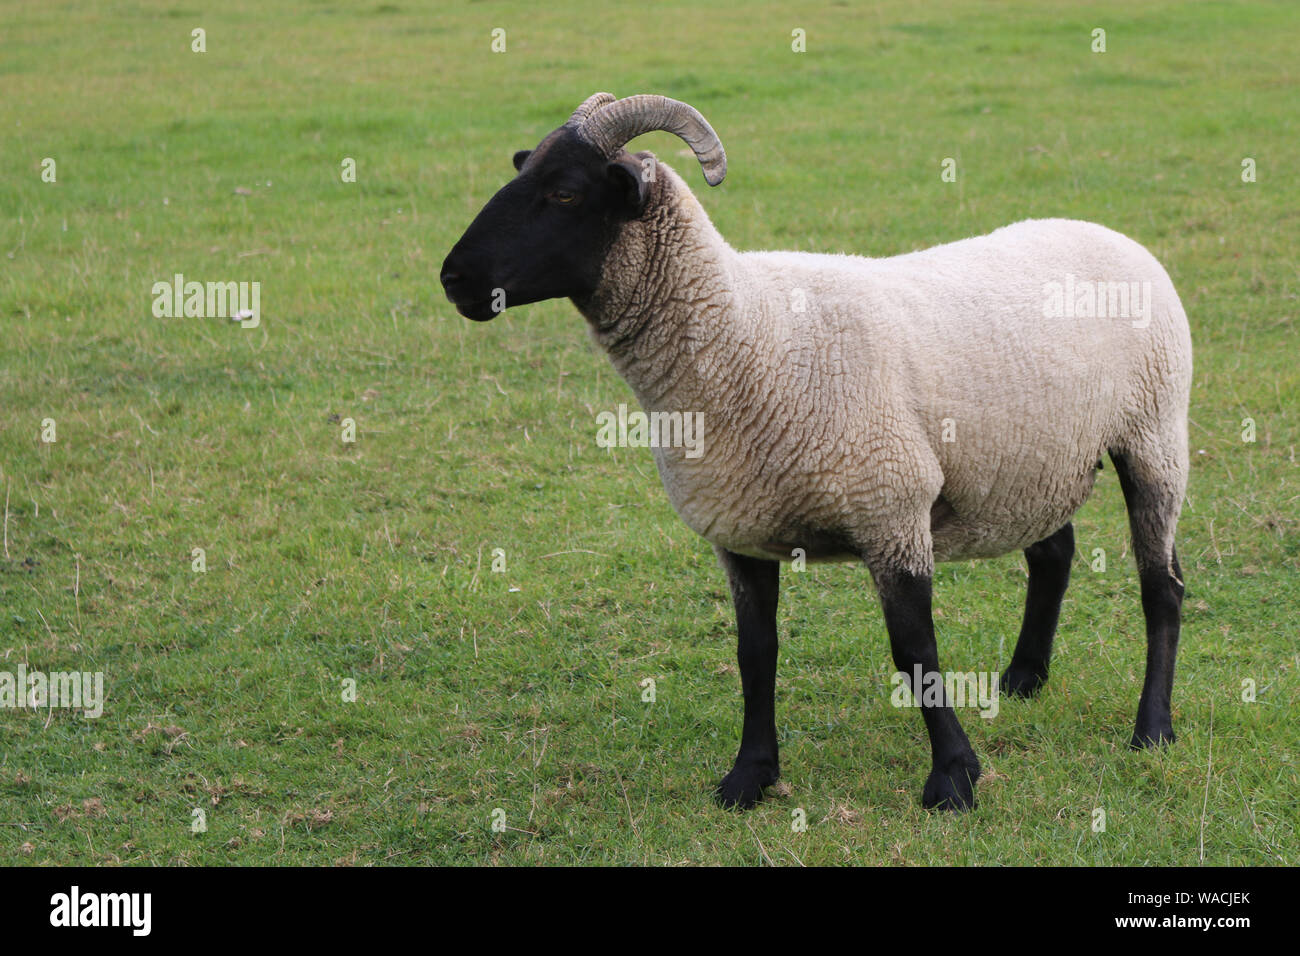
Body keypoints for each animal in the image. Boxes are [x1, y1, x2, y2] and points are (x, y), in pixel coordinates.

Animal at [441, 93, 1192, 812]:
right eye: (524, 172)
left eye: (566, 192)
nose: (454, 279)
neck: (748, 331)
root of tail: (1110, 233)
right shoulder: (739, 528)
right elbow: (755, 654)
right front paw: (749, 776)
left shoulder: (892, 507)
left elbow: (914, 652)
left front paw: (953, 778)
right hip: (1030, 459)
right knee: (1054, 552)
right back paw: (1025, 676)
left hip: (1154, 434)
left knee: (1162, 587)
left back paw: (1152, 728)